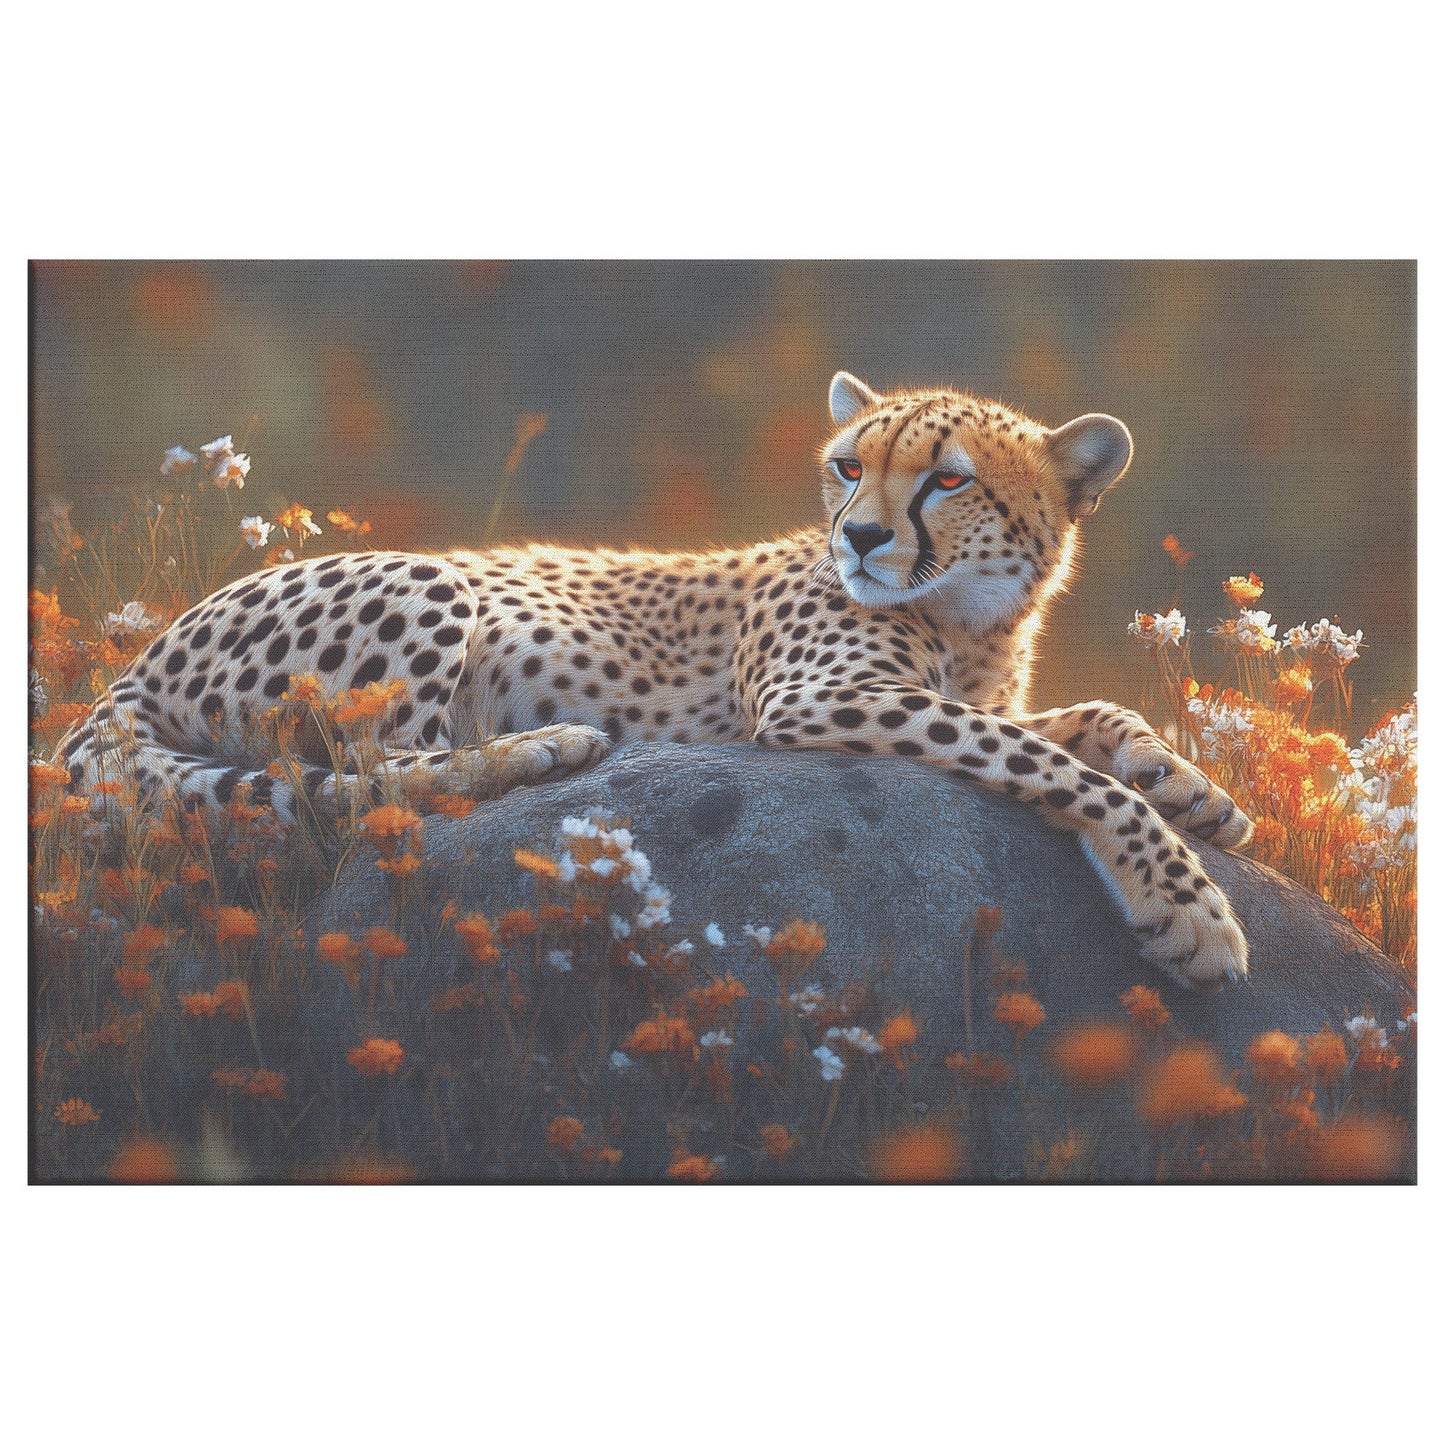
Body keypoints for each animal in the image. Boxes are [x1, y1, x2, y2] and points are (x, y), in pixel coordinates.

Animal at [52, 371, 1254, 986]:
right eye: (846, 465)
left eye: (947, 479)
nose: (861, 538)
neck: (969, 618)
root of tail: (136, 655)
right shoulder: (819, 698)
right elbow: (1055, 764)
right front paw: (1185, 905)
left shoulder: (954, 694)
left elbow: (1086, 718)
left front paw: (1196, 791)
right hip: (426, 577)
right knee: (371, 784)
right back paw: (543, 745)